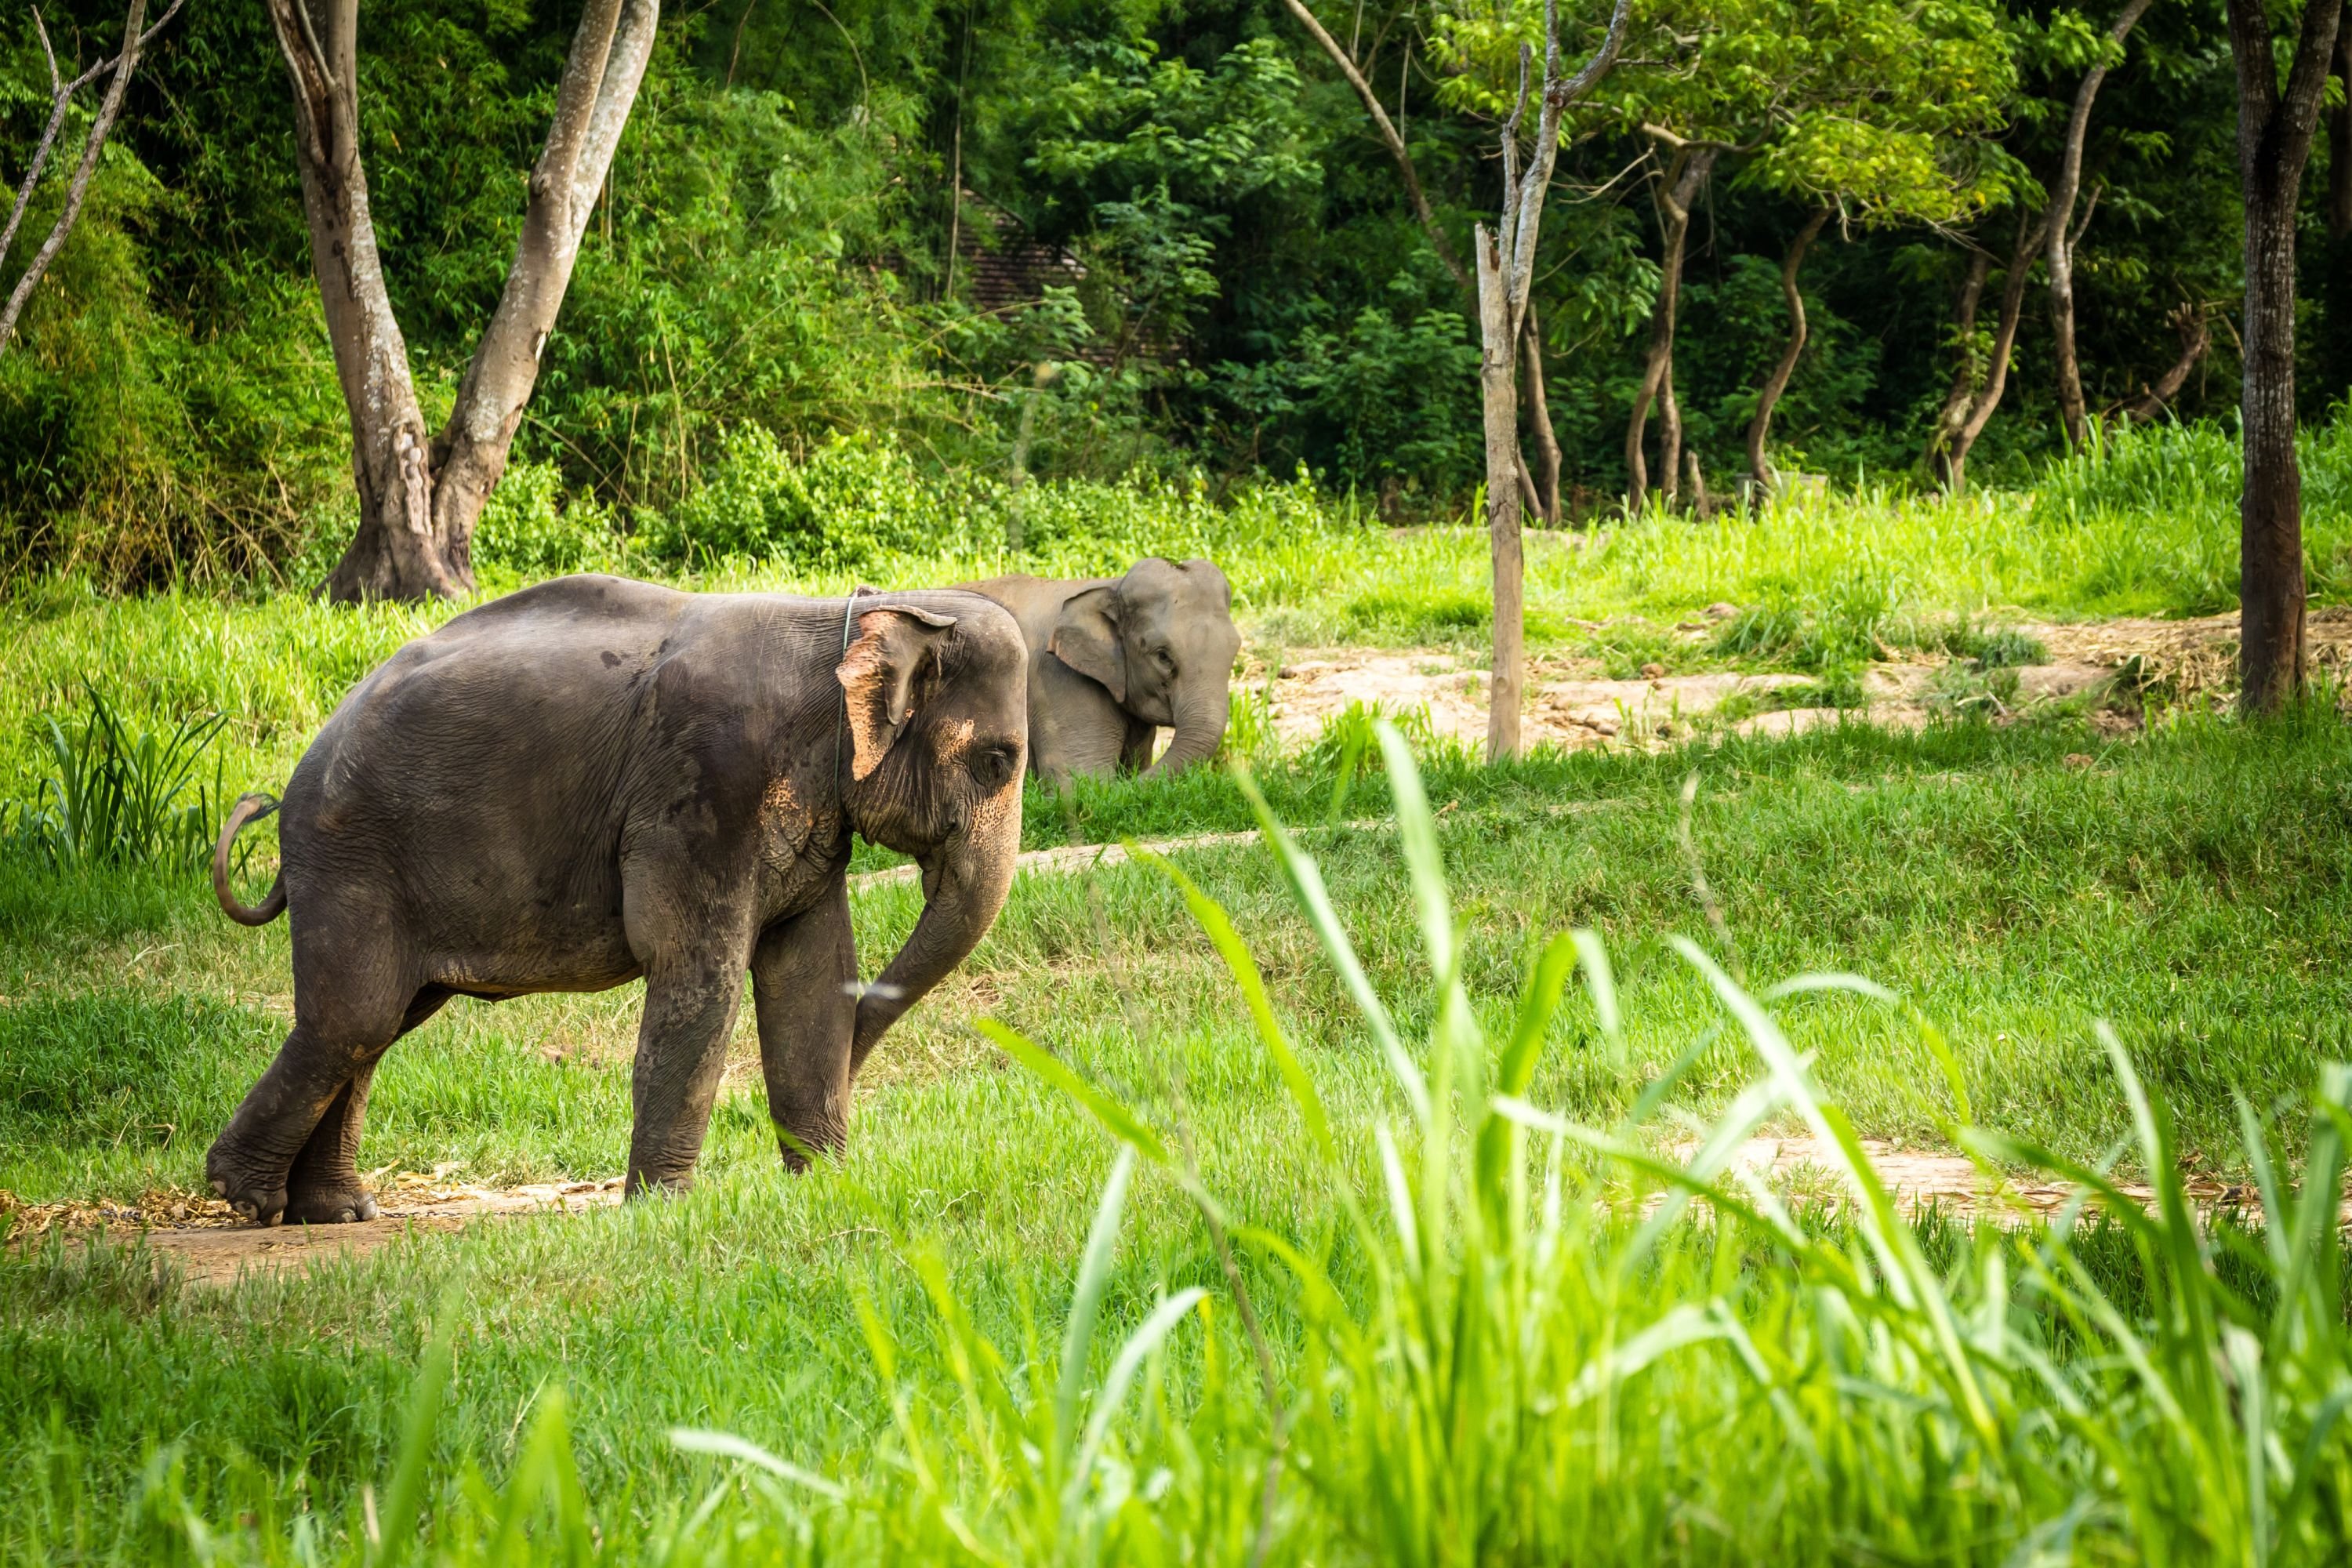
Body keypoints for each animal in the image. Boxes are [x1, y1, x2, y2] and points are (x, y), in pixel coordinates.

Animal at [203, 574, 1028, 1225]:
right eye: (998, 761)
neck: (856, 616)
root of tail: (300, 769)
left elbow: (812, 980)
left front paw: (825, 1193)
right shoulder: (706, 788)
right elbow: (701, 976)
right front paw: (665, 1213)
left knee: (379, 1025)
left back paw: (332, 1212)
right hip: (352, 857)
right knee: (358, 1018)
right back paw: (244, 1197)